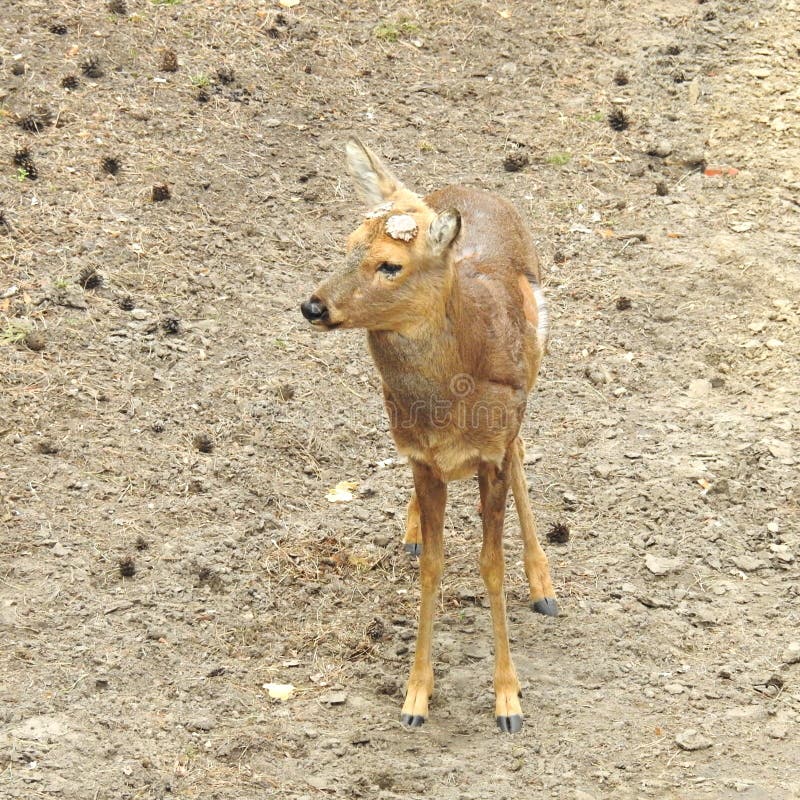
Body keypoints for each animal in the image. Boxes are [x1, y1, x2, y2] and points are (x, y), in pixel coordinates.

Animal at [300, 138, 558, 733]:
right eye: (348, 245)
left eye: (390, 264)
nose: (314, 305)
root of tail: (470, 189)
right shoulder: (420, 457)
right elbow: (433, 568)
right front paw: (415, 696)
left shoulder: (491, 452)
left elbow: (491, 565)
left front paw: (508, 702)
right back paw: (413, 529)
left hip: (531, 378)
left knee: (523, 449)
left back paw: (544, 586)